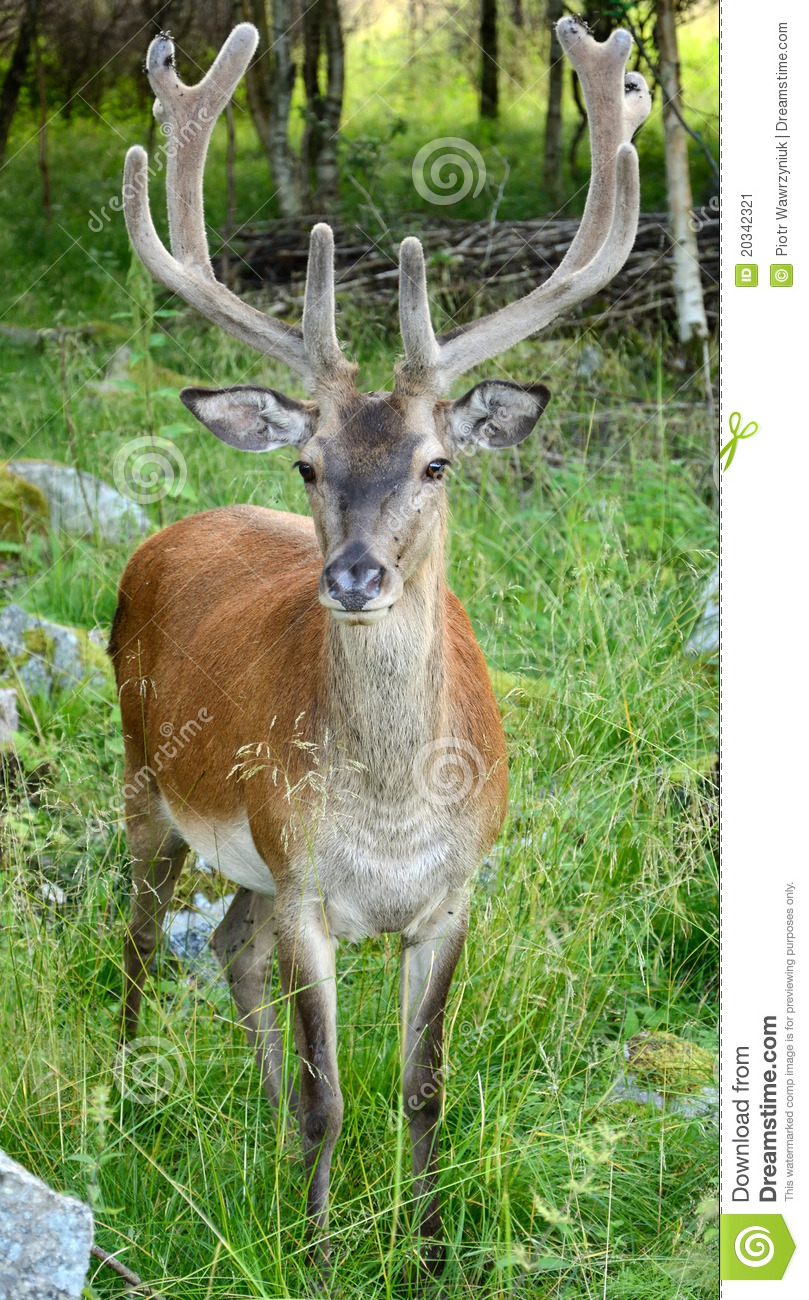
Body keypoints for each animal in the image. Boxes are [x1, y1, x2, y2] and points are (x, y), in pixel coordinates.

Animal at [110, 16, 650, 1282]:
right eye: (308, 463)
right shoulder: (306, 877)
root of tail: (165, 533)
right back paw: (130, 1108)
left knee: (226, 943)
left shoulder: (453, 889)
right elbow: (330, 1098)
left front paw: (430, 1250)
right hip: (150, 778)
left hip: (247, 856)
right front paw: (312, 1256)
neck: (397, 815)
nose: (353, 577)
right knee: (142, 937)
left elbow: (421, 1088)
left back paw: (252, 1127)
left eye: (435, 461)